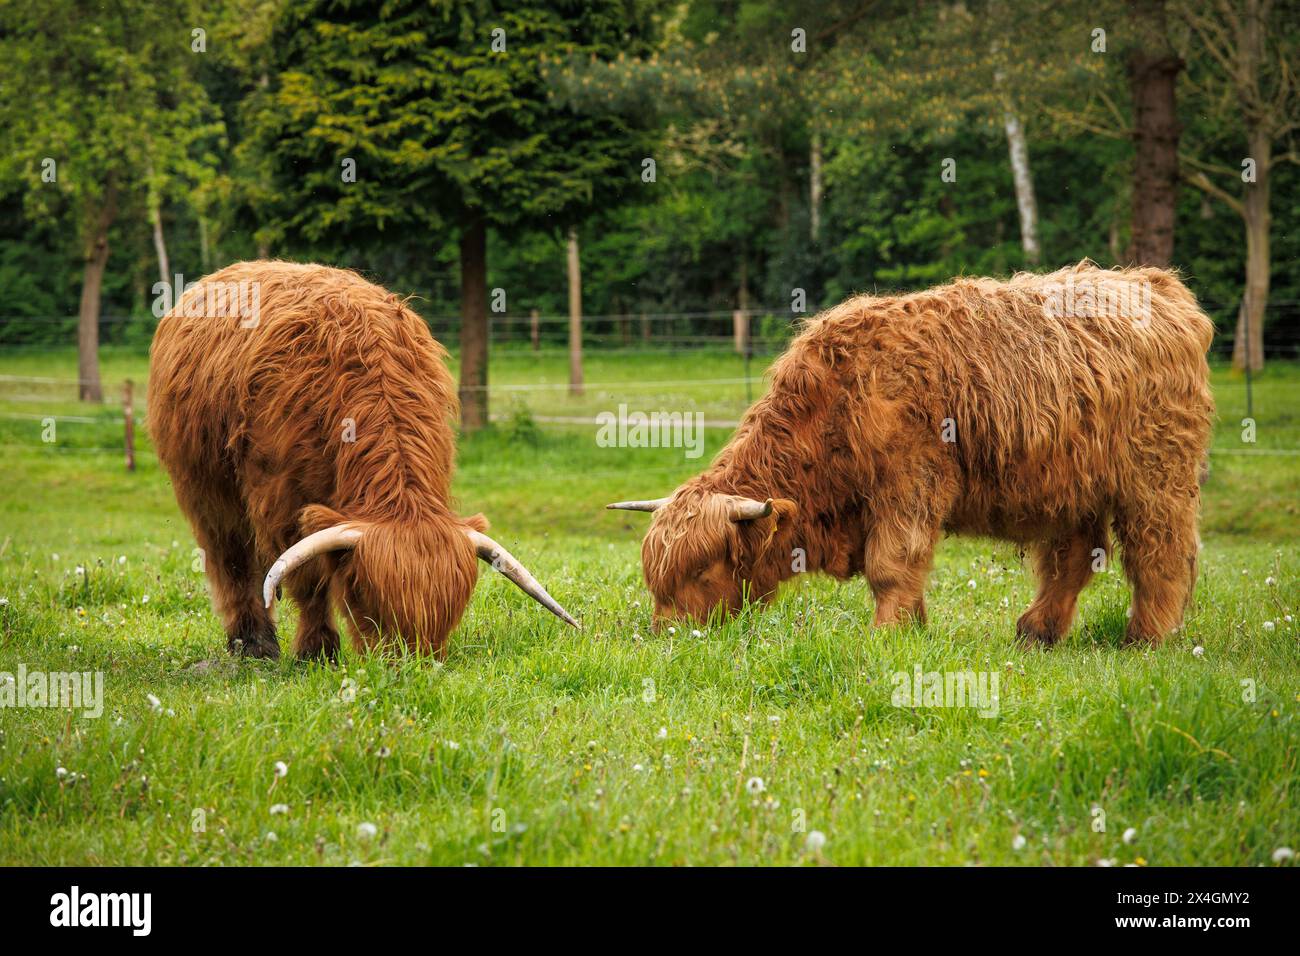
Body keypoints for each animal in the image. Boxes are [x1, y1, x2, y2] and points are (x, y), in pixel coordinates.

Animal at [149, 260, 575, 661]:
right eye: (367, 598)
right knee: (231, 560)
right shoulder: (281, 495)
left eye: (450, 613)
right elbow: (308, 579)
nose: (414, 663)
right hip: (204, 486)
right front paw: (317, 650)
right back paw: (253, 643)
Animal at [610, 262, 1214, 646]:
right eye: (654, 575)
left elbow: (891, 564)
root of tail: (1158, 286)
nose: (665, 633)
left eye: (700, 568)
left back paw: (1147, 637)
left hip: (1156, 476)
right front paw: (913, 626)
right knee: (1074, 557)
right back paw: (1036, 631)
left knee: (1161, 552)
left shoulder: (909, 481)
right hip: (1070, 486)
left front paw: (886, 633)